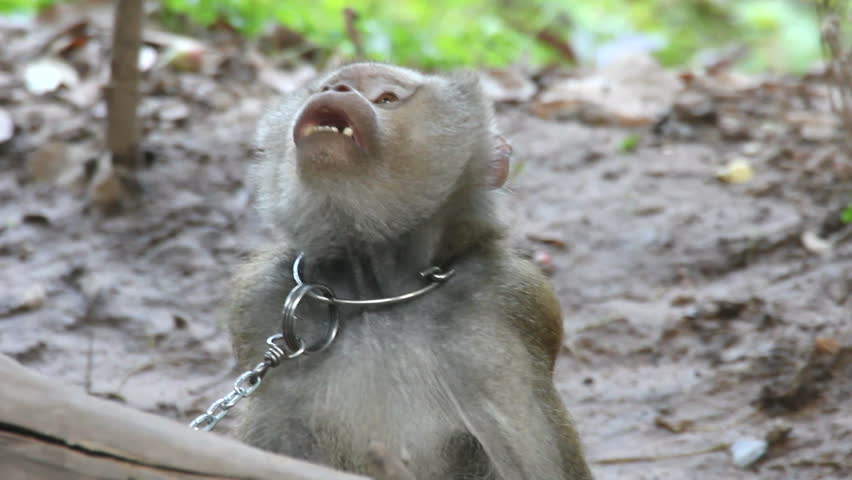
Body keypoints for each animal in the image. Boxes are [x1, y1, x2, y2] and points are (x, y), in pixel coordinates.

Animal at [227, 62, 593, 480]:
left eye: (387, 98)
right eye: (329, 85)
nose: (339, 89)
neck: (375, 294)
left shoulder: (504, 311)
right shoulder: (262, 300)